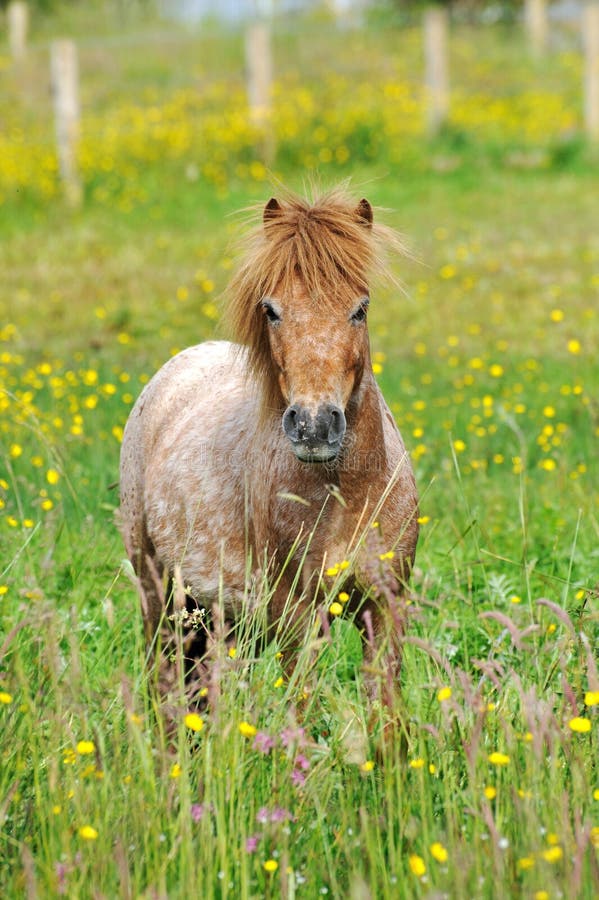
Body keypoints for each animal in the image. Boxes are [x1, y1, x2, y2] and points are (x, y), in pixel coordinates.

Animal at [119, 185, 419, 716]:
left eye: (360, 308)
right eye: (272, 310)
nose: (315, 426)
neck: (347, 495)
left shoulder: (386, 610)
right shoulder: (297, 618)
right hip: (161, 601)